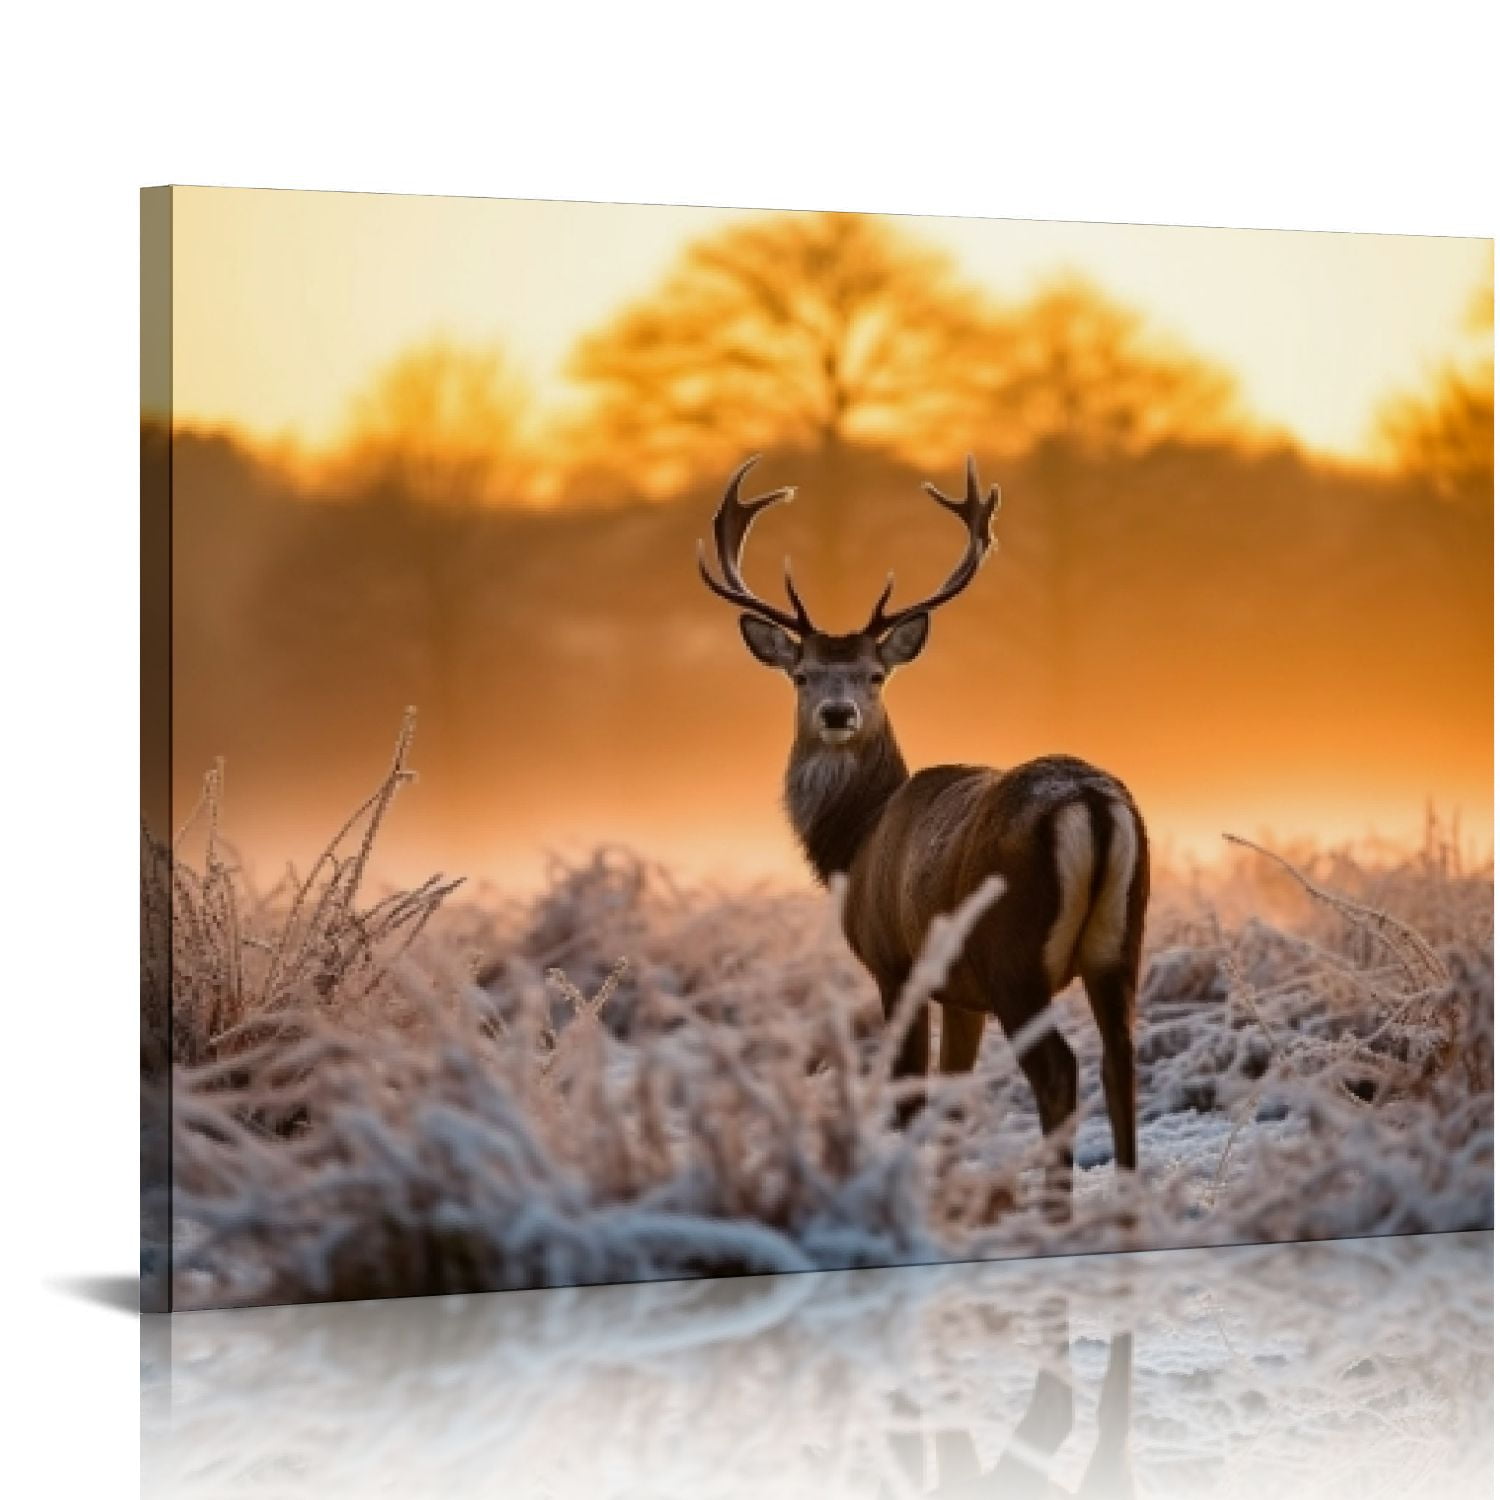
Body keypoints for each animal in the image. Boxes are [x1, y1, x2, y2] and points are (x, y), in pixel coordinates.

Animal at [698, 455, 1149, 1214]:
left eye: (875, 674)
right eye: (802, 674)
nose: (839, 713)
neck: (855, 840)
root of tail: (1090, 801)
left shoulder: (894, 961)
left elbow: (911, 1097)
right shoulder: (960, 990)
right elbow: (954, 1098)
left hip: (1015, 954)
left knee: (1059, 1069)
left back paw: (1057, 1216)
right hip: (1119, 944)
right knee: (1121, 1059)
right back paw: (1127, 1210)